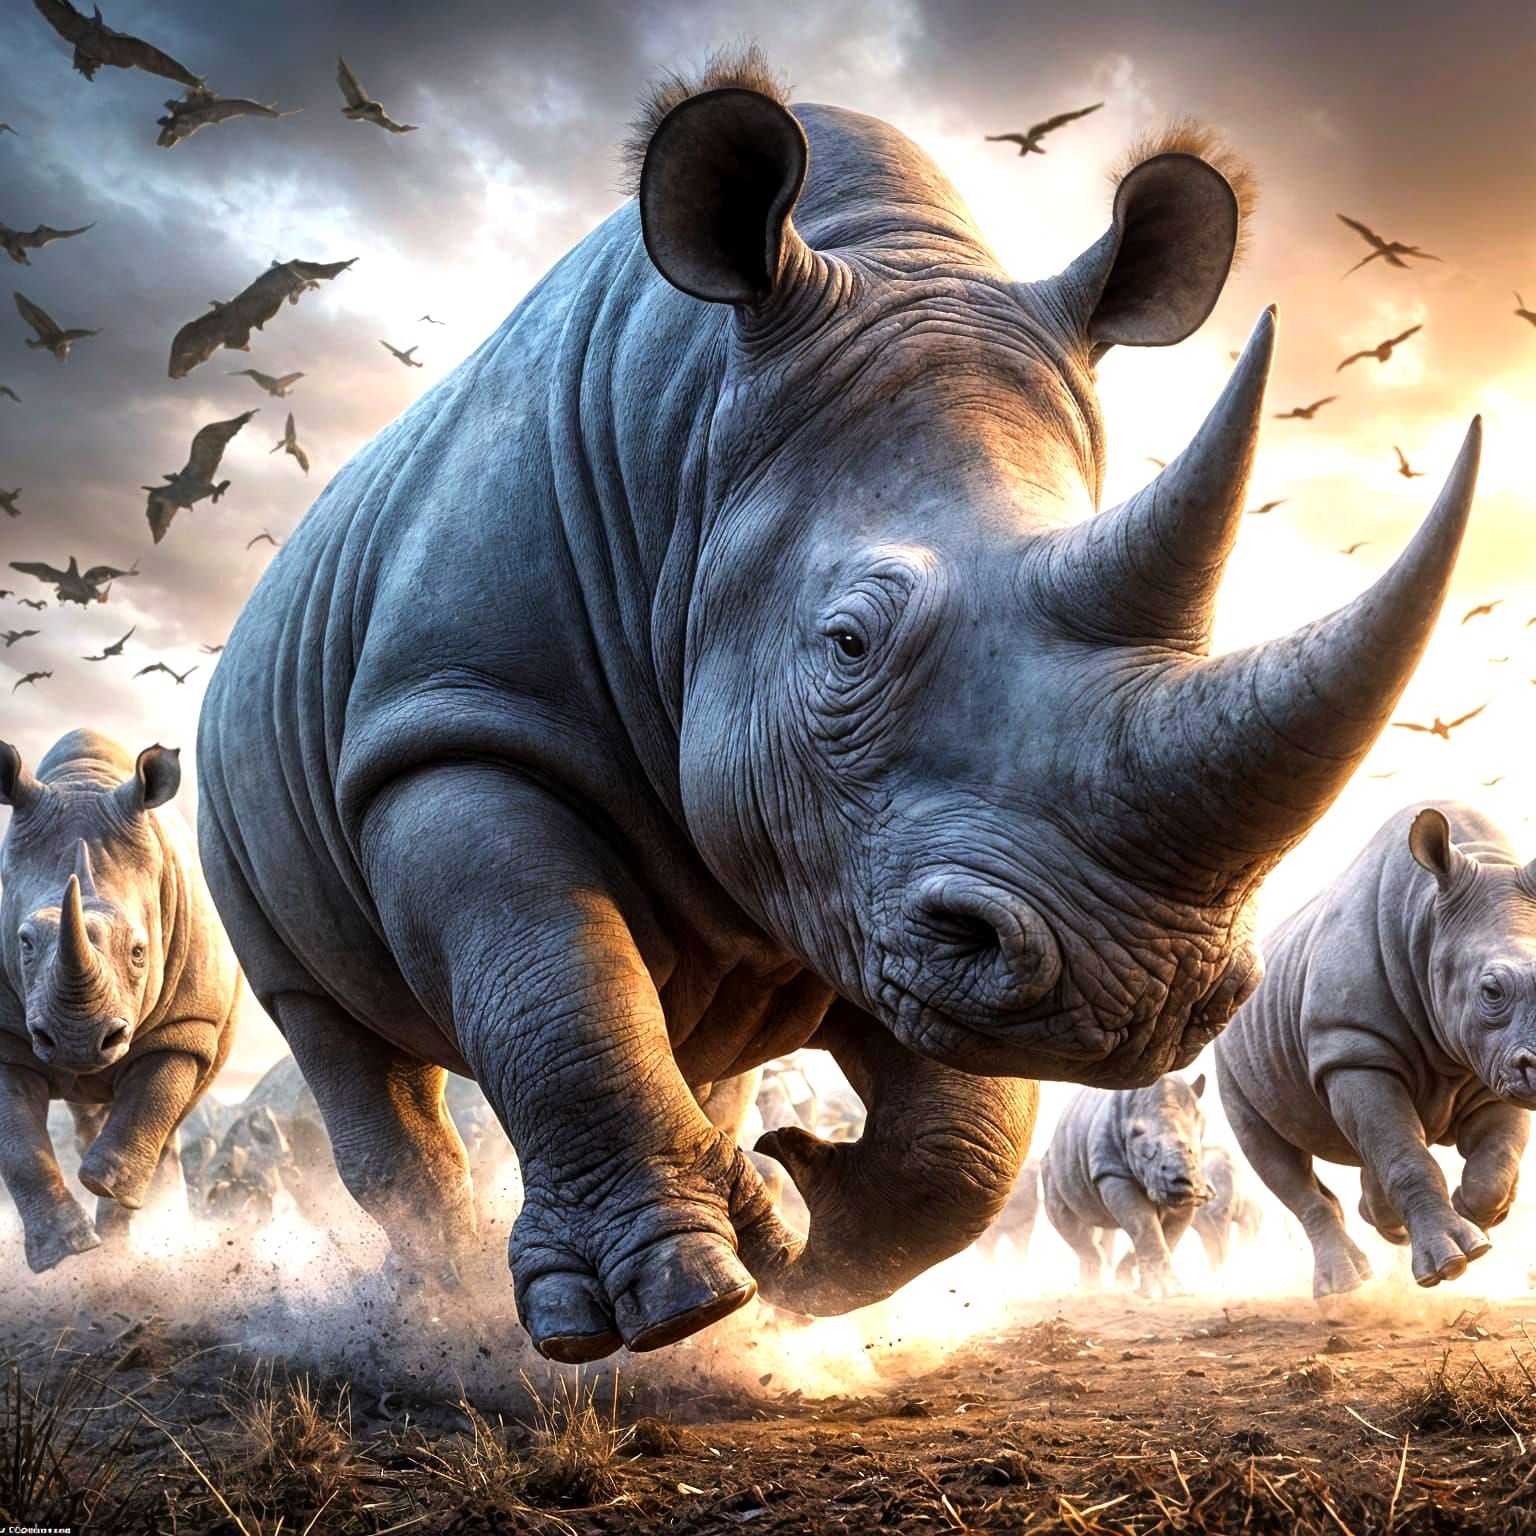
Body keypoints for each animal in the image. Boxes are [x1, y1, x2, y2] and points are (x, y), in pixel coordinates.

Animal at [0, 730, 241, 1270]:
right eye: (24, 943)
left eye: (139, 951)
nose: (78, 1041)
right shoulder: (2, 1035)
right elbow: (19, 1148)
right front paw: (64, 1253)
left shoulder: (186, 1024)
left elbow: (153, 1097)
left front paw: (107, 1190)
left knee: (168, 1118)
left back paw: (130, 1242)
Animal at [1041, 1075, 1208, 1297]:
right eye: (1145, 1152)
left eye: (1195, 1148)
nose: (1182, 1181)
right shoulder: (1110, 1169)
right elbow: (1144, 1225)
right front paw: (1165, 1293)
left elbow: (1166, 1234)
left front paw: (1148, 1288)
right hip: (1051, 1164)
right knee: (1064, 1218)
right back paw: (1089, 1288)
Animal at [1214, 804, 1536, 1297]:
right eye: (1492, 990)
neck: (1428, 918)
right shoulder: (1352, 1045)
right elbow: (1404, 1154)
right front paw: (1452, 1262)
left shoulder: (1496, 1064)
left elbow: (1496, 1163)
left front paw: (1476, 1215)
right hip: (1229, 1051)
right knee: (1273, 1154)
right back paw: (1342, 1287)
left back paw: (1386, 1225)